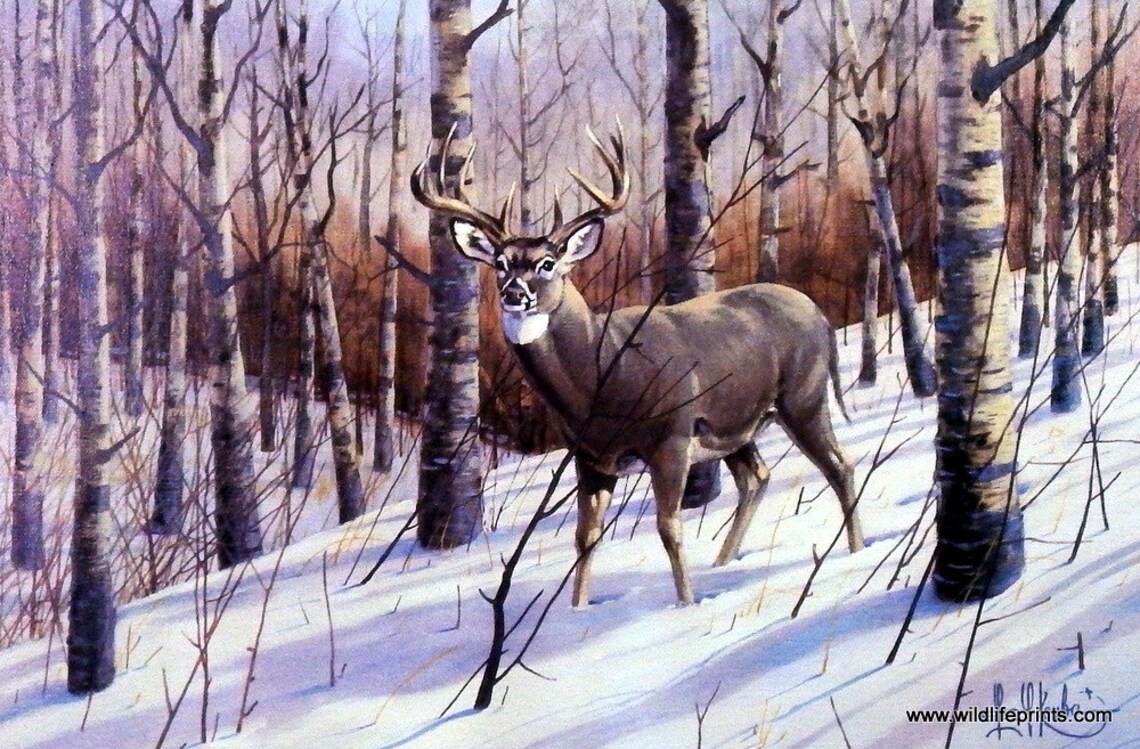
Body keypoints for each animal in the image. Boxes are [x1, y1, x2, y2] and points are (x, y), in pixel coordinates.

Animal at [411, 125, 865, 607]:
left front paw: (685, 602)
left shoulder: (671, 438)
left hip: (804, 396)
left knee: (839, 465)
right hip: (740, 425)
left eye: (547, 263)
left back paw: (855, 549)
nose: (515, 293)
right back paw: (723, 563)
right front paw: (578, 608)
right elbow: (585, 537)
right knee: (757, 477)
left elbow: (668, 528)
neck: (600, 382)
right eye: (499, 263)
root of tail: (820, 316)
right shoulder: (590, 458)